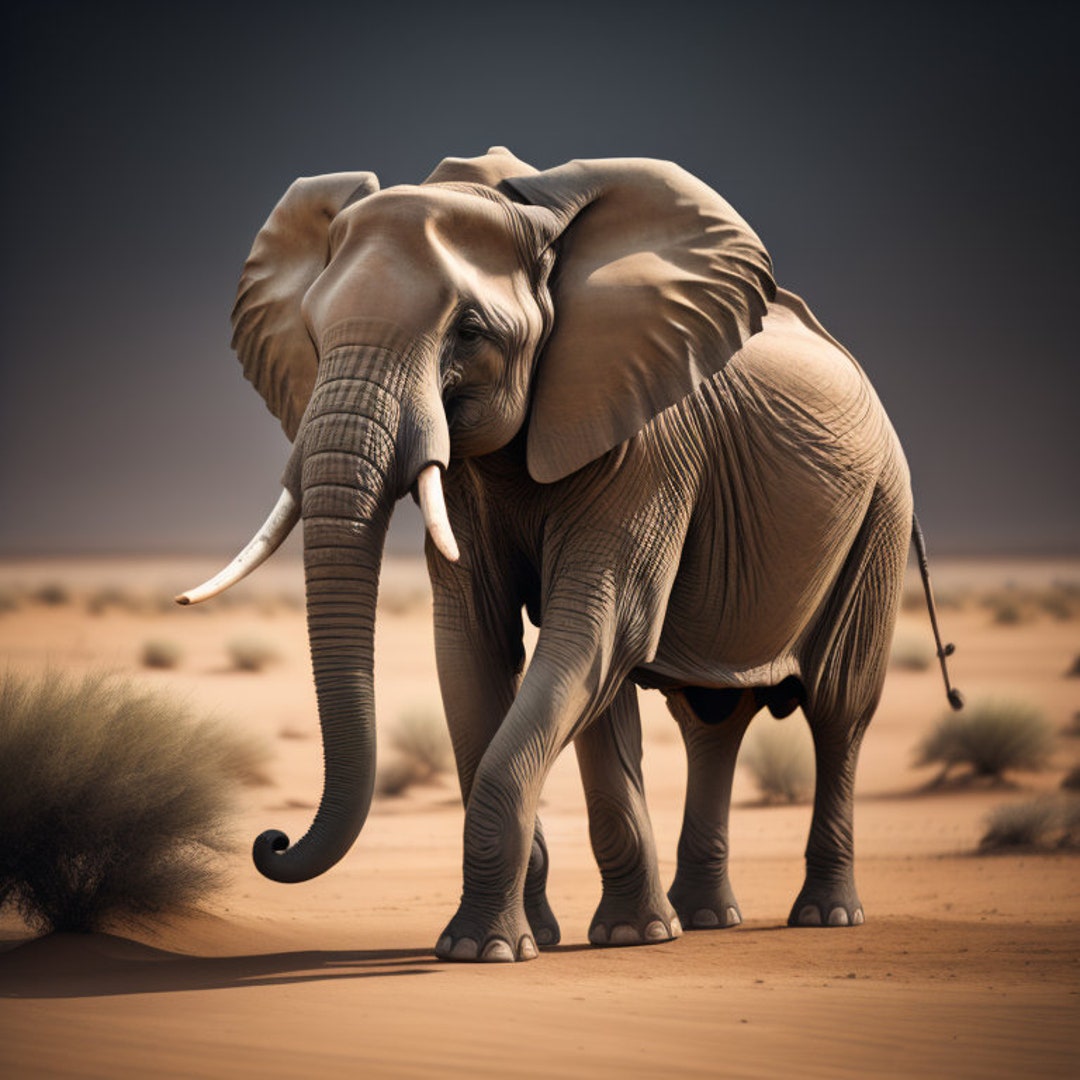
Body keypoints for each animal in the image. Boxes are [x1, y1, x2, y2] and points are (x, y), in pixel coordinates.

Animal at [180, 147, 960, 962]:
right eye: (311, 329)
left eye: (469, 333)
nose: (269, 840)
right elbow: (476, 643)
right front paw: (565, 940)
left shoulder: (647, 440)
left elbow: (594, 629)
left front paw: (486, 951)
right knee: (709, 721)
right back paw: (701, 920)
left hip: (882, 509)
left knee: (841, 709)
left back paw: (825, 915)